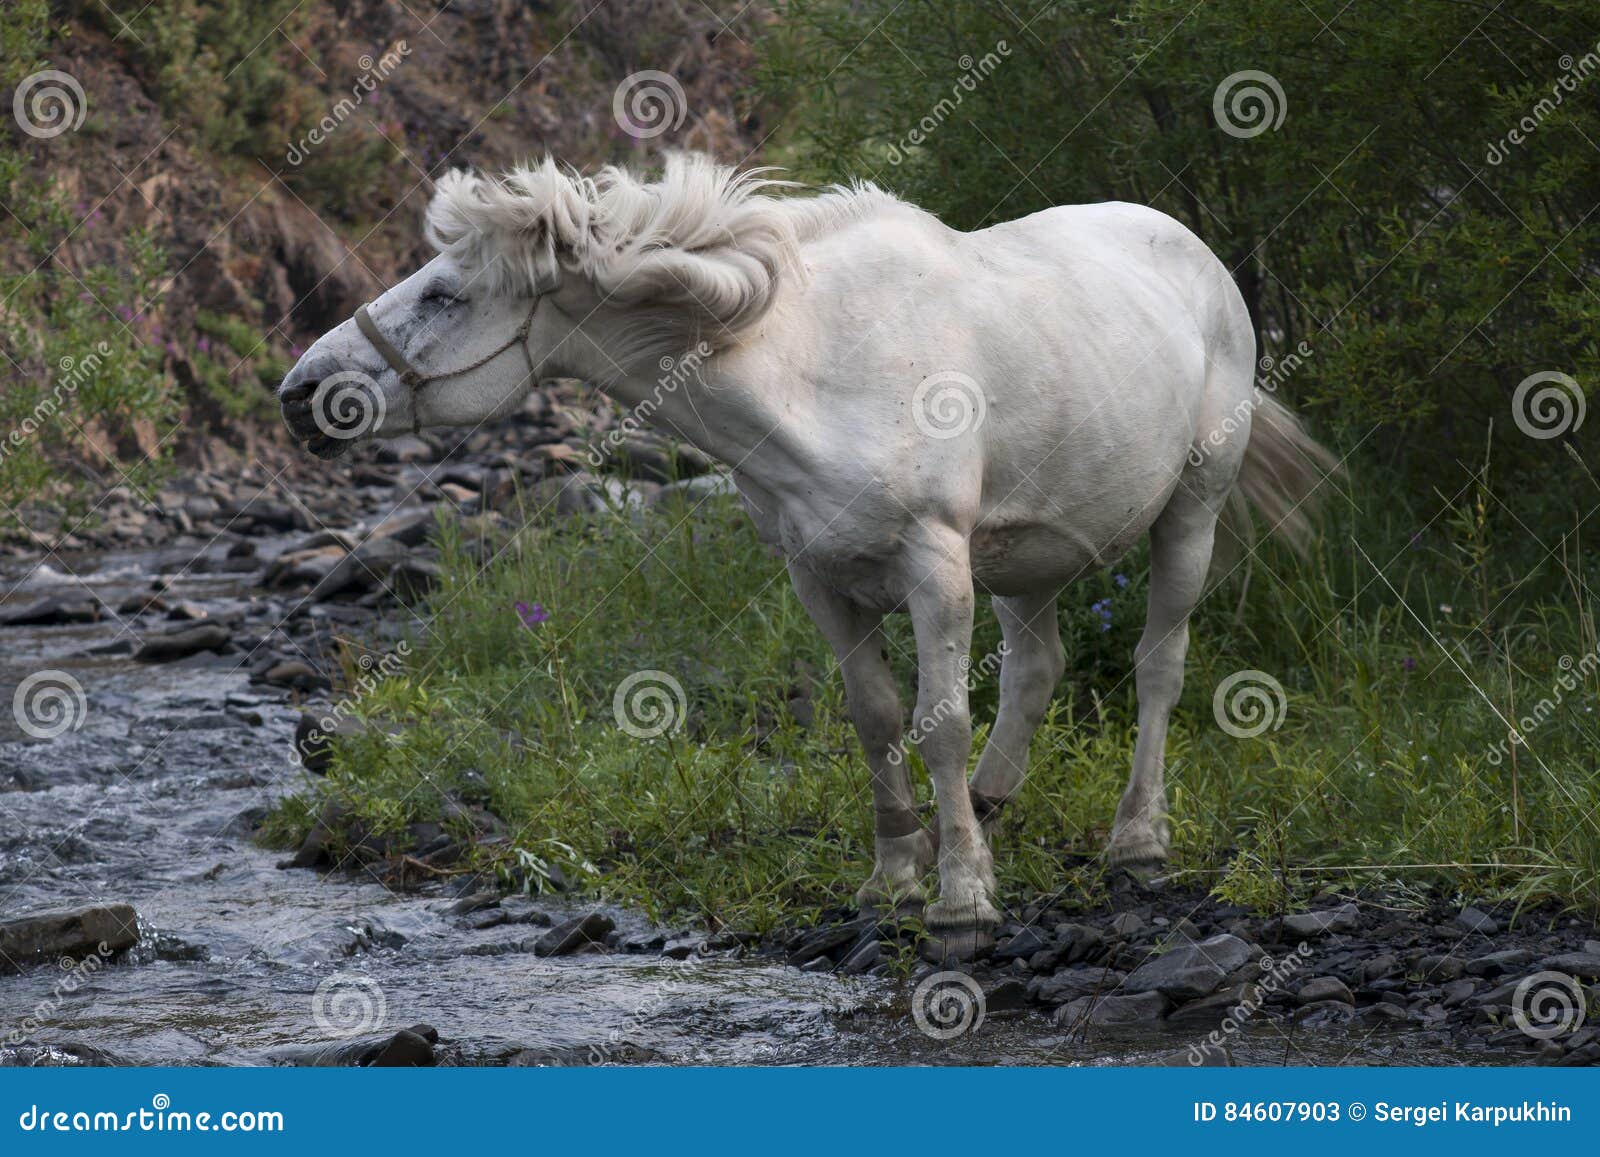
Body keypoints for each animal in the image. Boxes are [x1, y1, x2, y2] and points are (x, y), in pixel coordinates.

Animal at [279, 153, 1336, 956]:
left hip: (1191, 509)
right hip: (1026, 555)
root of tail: (1197, 255)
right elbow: (876, 720)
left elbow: (940, 721)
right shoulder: (820, 578)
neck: (814, 367)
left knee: (1159, 665)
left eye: (444, 293)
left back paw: (1136, 840)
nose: (301, 393)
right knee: (1038, 668)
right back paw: (986, 810)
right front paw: (896, 876)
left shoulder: (934, 566)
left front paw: (960, 901)